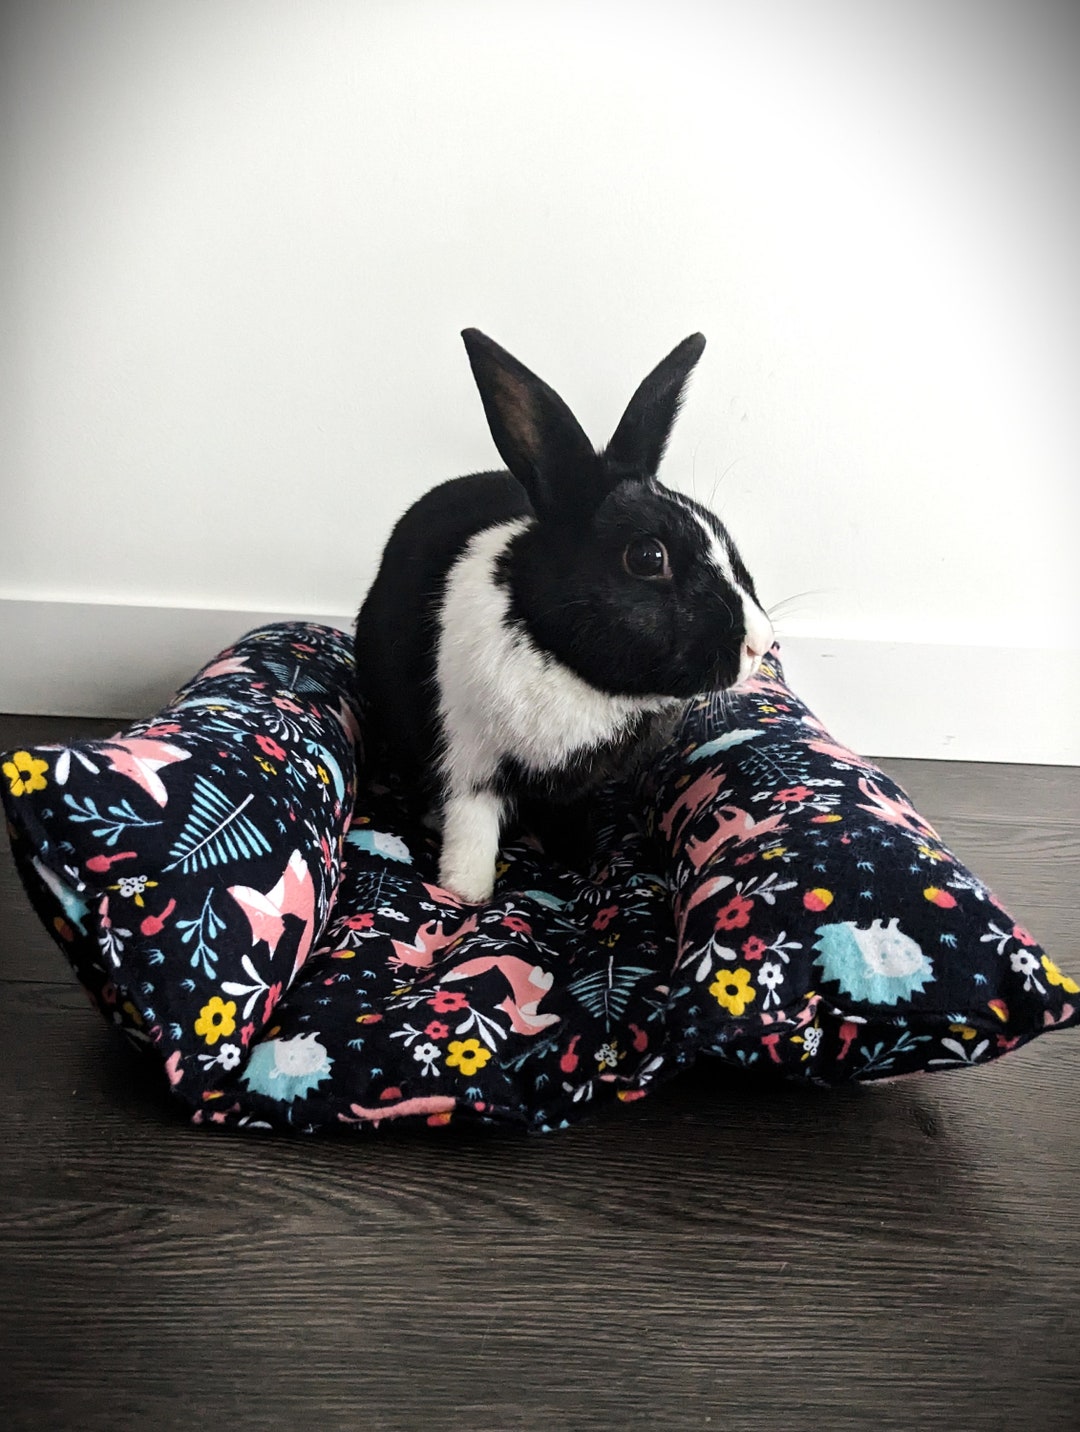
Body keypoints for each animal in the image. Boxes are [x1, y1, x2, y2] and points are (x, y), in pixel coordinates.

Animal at [354, 328, 774, 904]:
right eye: (648, 557)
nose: (760, 643)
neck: (571, 667)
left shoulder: (580, 786)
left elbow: (570, 817)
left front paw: (582, 863)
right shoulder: (468, 756)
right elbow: (472, 827)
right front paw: (466, 894)